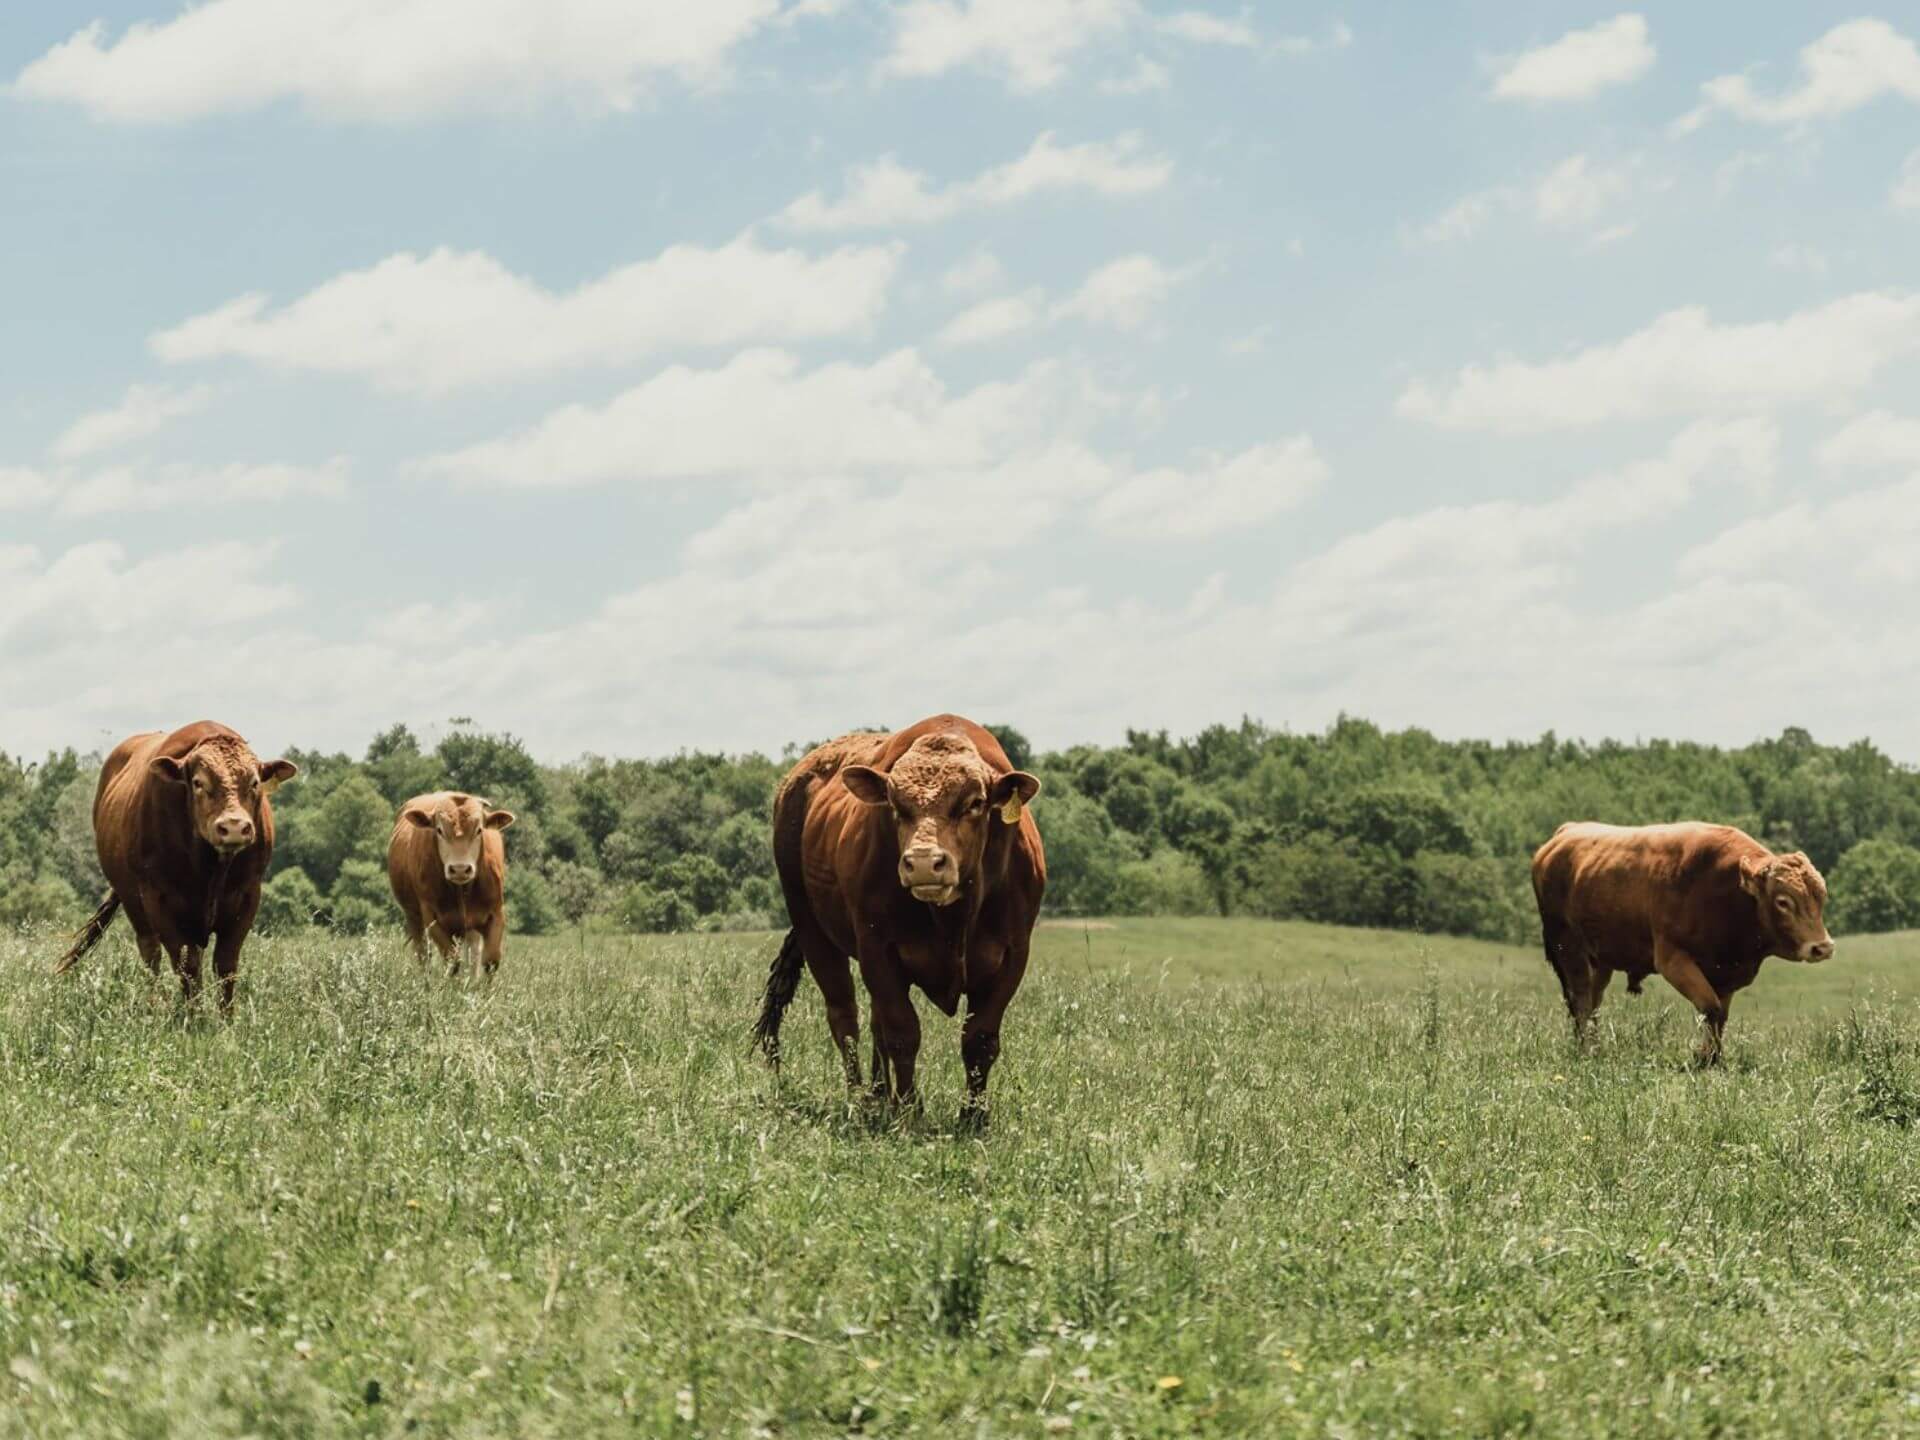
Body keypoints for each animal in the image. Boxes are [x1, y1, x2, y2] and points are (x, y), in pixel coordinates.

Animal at [55, 721, 298, 1011]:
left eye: (254, 783)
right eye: (198, 783)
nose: (234, 827)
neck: (213, 869)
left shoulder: (248, 897)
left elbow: (226, 966)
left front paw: (226, 1018)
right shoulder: (159, 900)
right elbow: (187, 966)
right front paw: (194, 1016)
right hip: (132, 900)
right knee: (151, 952)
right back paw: (153, 1003)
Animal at [387, 792, 514, 979]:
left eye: (479, 830)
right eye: (439, 830)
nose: (460, 869)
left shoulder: (496, 914)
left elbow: (490, 961)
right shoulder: (433, 920)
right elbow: (452, 963)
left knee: (473, 955)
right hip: (413, 917)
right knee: (424, 954)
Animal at [754, 715, 1045, 1126]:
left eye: (974, 803)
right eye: (896, 805)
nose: (923, 862)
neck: (955, 920)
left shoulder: (1012, 954)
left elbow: (980, 1038)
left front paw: (973, 1117)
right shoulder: (878, 948)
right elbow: (902, 1033)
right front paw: (910, 1111)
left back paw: (880, 1095)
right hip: (814, 932)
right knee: (845, 1018)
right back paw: (861, 1098)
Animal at [1531, 821, 1834, 1064]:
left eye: (1821, 897)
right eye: (1783, 902)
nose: (1822, 947)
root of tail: (1562, 837)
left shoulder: (1727, 974)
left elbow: (1719, 1016)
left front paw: (1713, 1059)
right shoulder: (1673, 960)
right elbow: (1710, 1008)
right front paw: (1702, 1056)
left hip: (1602, 959)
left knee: (1593, 1001)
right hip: (1569, 948)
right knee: (1581, 999)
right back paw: (1589, 1051)